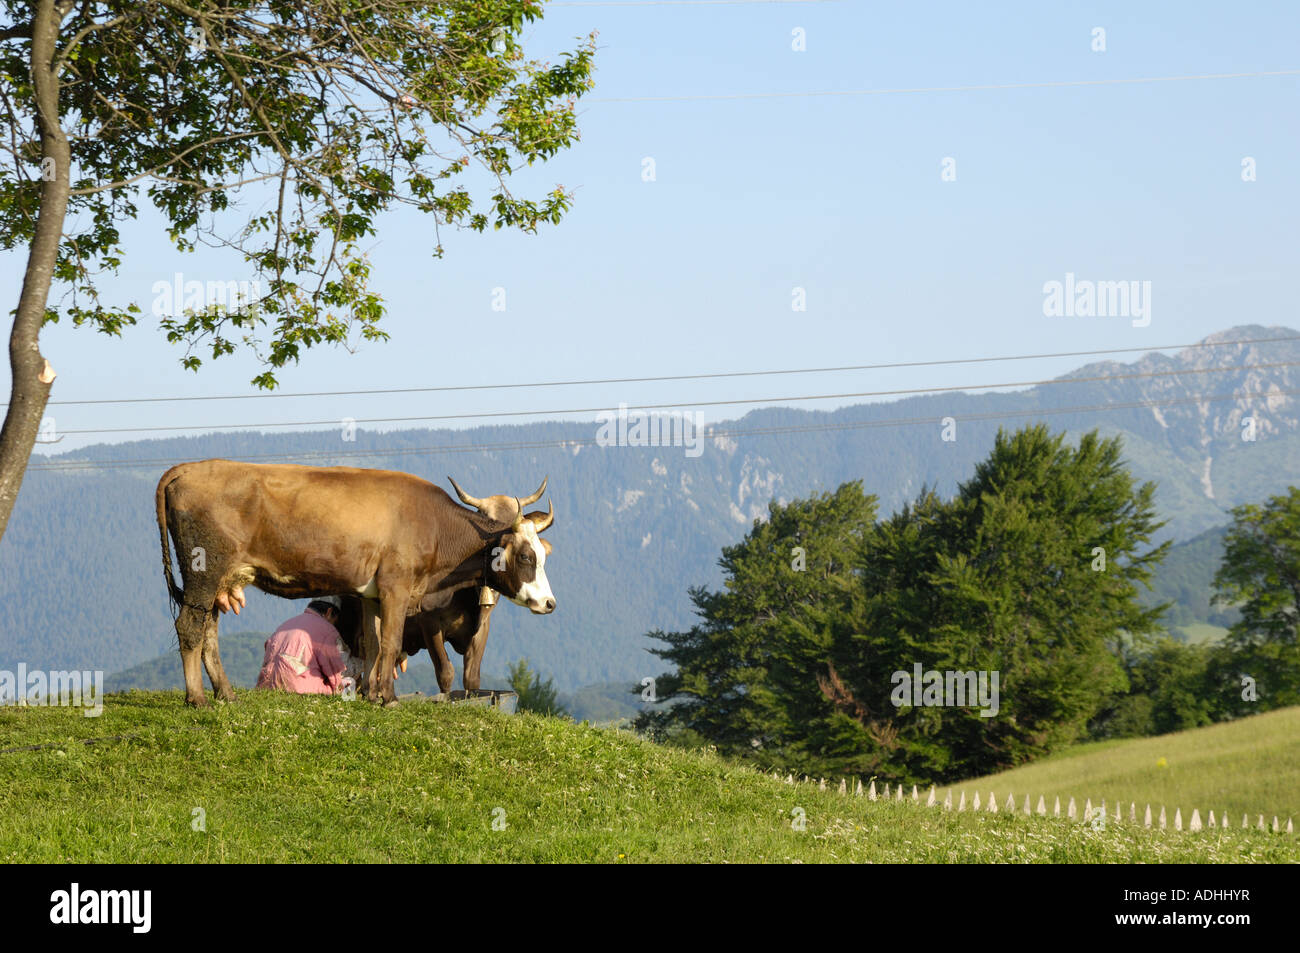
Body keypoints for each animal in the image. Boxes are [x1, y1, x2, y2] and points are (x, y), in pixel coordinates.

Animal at [155, 460, 555, 707]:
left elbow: (375, 644)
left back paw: (225, 693)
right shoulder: (397, 587)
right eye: (525, 557)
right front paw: (390, 699)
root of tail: (188, 468)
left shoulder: (373, 594)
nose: (550, 603)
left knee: (208, 629)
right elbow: (391, 642)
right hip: (203, 572)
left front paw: (374, 694)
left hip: (217, 581)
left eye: (543, 554)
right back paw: (197, 698)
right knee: (189, 626)